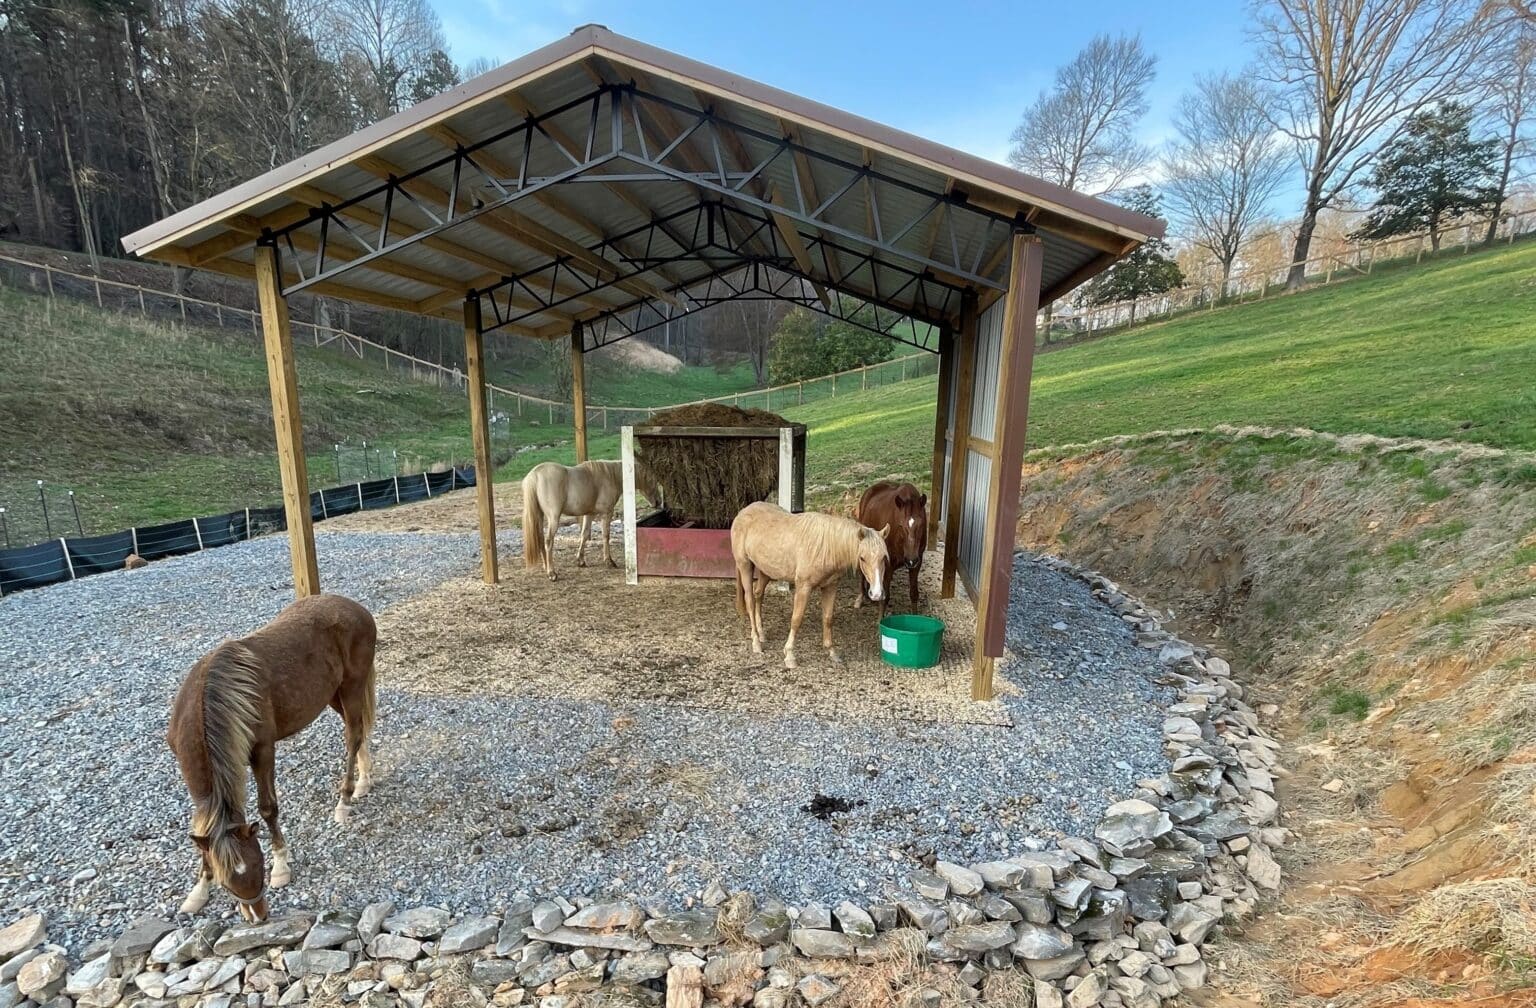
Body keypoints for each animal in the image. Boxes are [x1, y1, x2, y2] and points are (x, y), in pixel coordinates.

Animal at [167, 594, 377, 922]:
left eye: (258, 865)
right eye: (227, 880)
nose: (258, 916)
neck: (208, 702)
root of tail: (356, 607)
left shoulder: (263, 752)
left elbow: (268, 808)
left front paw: (281, 866)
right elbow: (202, 827)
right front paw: (199, 889)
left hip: (352, 685)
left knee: (353, 736)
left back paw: (344, 801)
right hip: (334, 693)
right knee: (358, 730)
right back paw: (364, 781)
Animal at [521, 459, 660, 579]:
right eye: (653, 479)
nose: (658, 502)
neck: (610, 476)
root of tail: (535, 475)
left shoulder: (589, 514)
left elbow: (584, 534)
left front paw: (580, 561)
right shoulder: (606, 513)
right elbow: (606, 536)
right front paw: (609, 561)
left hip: (539, 516)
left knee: (540, 539)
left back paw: (546, 567)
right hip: (553, 518)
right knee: (548, 541)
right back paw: (551, 573)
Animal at [731, 502, 889, 669]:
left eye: (883, 558)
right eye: (862, 558)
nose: (877, 594)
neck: (826, 547)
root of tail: (743, 512)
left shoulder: (830, 587)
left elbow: (827, 618)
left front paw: (832, 652)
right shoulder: (803, 587)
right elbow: (796, 619)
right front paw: (789, 655)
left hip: (765, 571)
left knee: (758, 594)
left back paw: (761, 634)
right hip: (745, 565)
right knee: (750, 600)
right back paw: (756, 642)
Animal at [854, 480, 929, 616]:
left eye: (921, 525)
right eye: (900, 525)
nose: (910, 560)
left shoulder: (917, 563)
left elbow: (914, 594)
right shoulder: (888, 564)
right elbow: (885, 597)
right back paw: (860, 598)